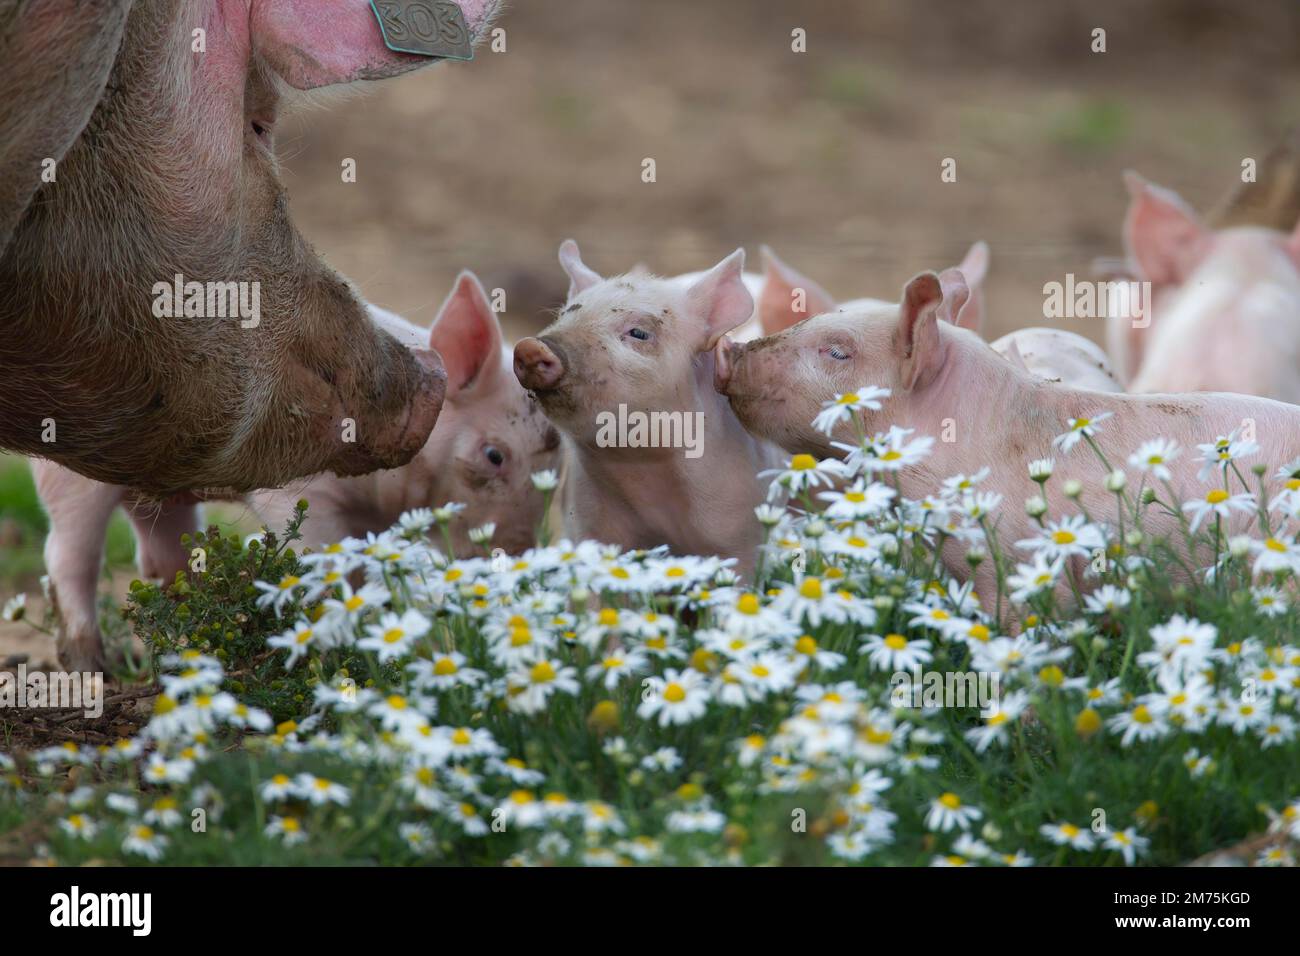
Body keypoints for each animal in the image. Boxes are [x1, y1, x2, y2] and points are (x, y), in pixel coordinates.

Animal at [36, 271, 559, 671]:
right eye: (494, 456)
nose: (520, 553)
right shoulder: (298, 494)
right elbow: (322, 557)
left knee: (160, 552)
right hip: (71, 477)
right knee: (67, 552)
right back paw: (91, 664)